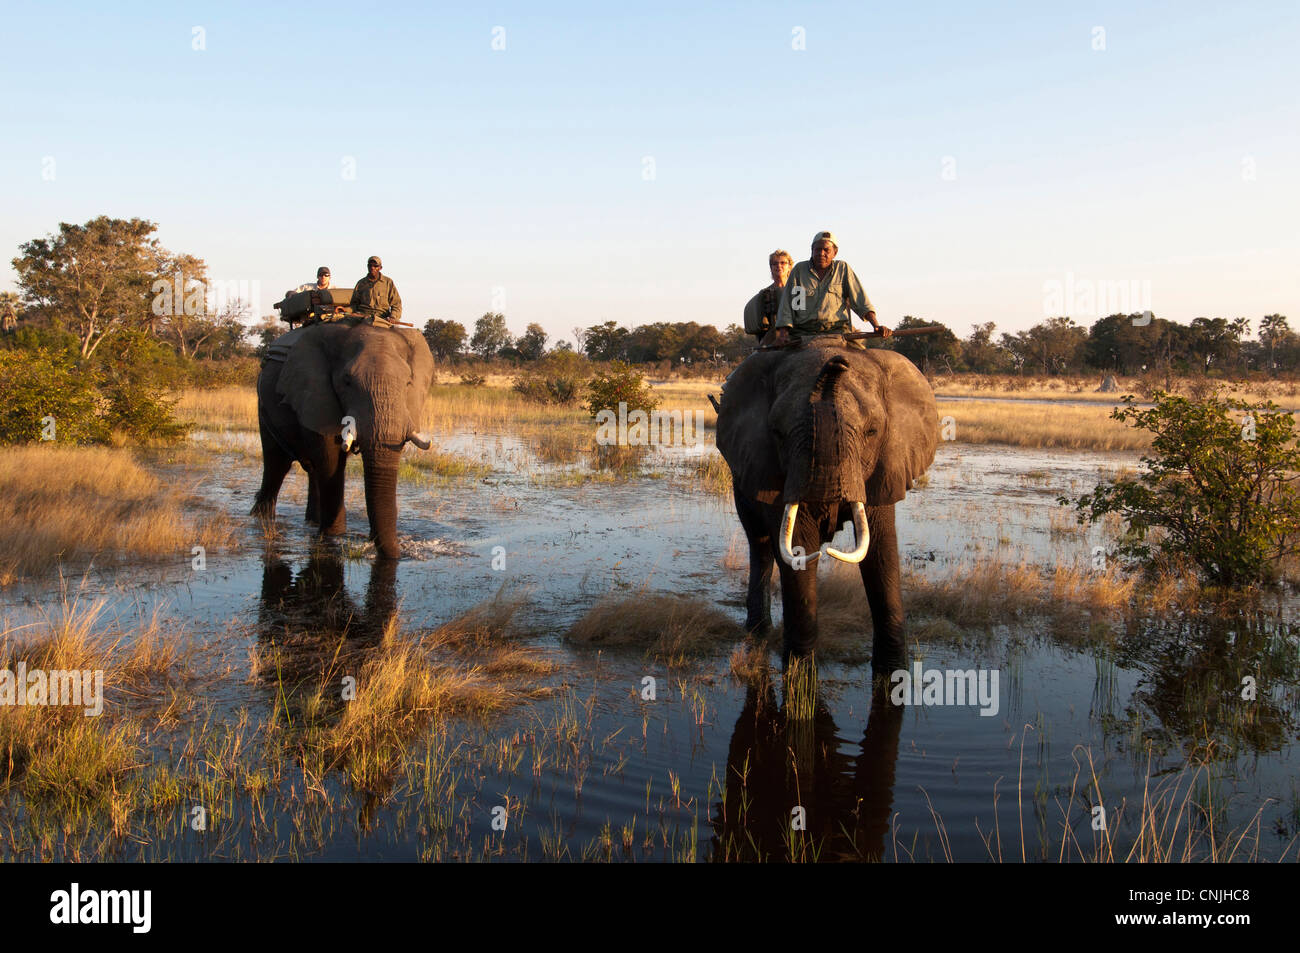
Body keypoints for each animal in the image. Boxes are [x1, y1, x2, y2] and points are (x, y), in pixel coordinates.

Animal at [252, 320, 435, 559]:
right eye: (347, 382)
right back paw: (261, 519)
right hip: (263, 405)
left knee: (311, 470)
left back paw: (312, 522)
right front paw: (334, 536)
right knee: (277, 464)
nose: (400, 553)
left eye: (408, 383)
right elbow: (330, 458)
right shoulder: (317, 393)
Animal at [715, 338, 938, 672]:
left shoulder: (884, 468)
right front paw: (800, 674)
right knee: (761, 544)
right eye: (778, 432)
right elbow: (798, 546)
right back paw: (758, 631)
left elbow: (881, 551)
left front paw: (893, 671)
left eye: (872, 431)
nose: (837, 364)